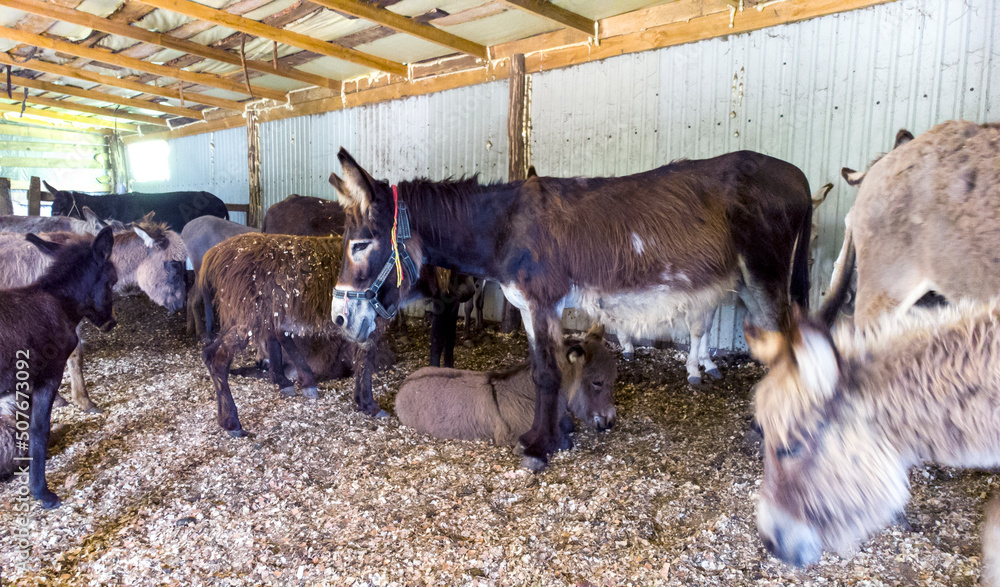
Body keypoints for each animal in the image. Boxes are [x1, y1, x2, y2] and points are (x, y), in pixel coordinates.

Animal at [0, 227, 116, 508]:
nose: (111, 323)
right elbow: (38, 429)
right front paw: (42, 493)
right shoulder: (47, 375)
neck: (59, 301)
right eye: (112, 281)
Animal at [328, 148, 813, 470]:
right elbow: (546, 368)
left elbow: (548, 373)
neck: (505, 227)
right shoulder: (529, 307)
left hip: (764, 277)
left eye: (359, 245)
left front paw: (540, 449)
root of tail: (798, 176)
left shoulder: (543, 300)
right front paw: (549, 435)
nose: (338, 319)